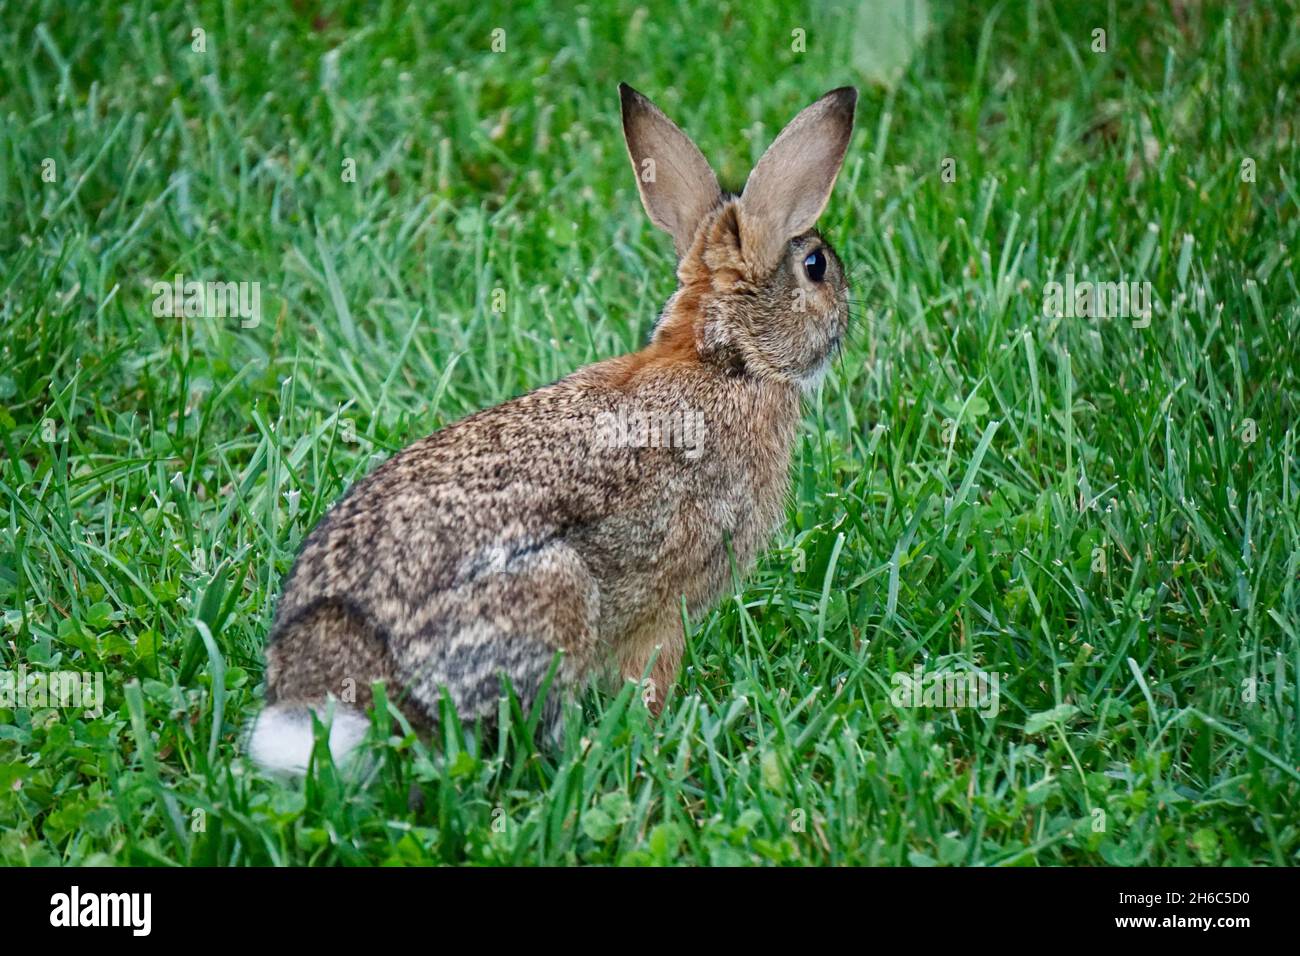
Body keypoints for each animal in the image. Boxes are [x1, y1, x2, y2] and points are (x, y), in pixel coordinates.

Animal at [248, 83, 858, 774]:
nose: (848, 310)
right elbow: (652, 675)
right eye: (816, 266)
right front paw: (654, 732)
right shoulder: (667, 606)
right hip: (553, 596)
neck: (726, 358)